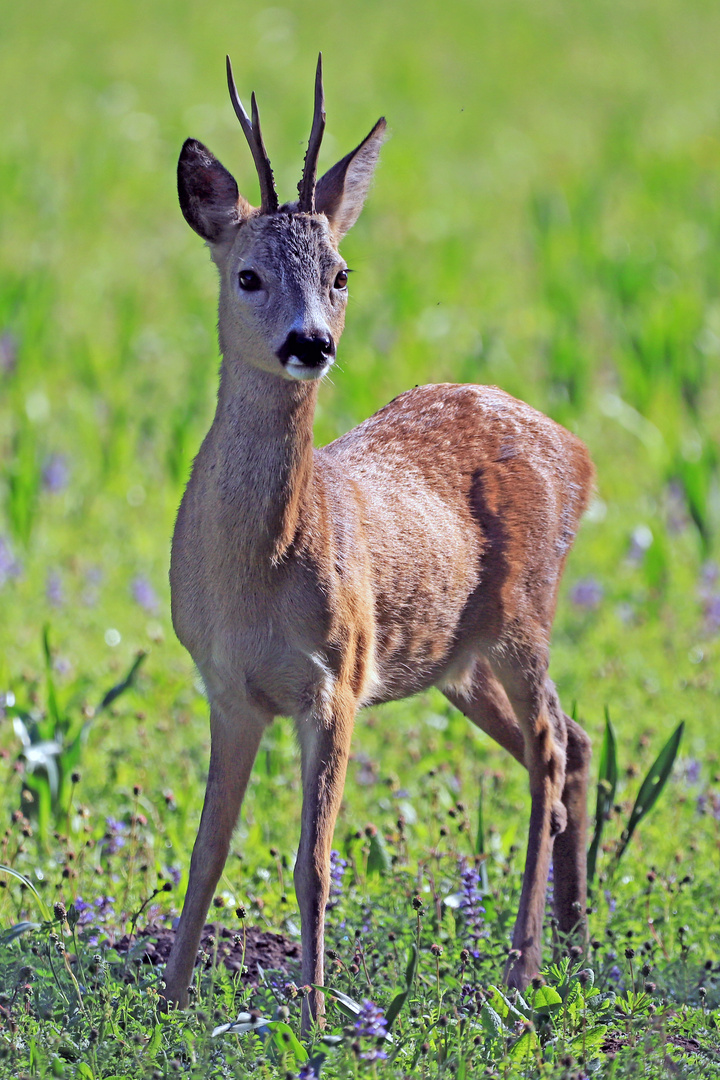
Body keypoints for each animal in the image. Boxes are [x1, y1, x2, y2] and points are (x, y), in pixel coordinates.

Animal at [162, 56, 595, 1028]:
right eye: (248, 275)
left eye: (341, 271)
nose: (311, 343)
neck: (258, 572)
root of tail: (578, 450)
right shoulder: (227, 687)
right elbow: (206, 854)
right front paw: (166, 1004)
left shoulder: (338, 679)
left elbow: (312, 865)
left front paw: (316, 1019)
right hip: (456, 662)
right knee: (575, 741)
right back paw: (577, 939)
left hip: (524, 619)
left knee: (551, 749)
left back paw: (523, 967)